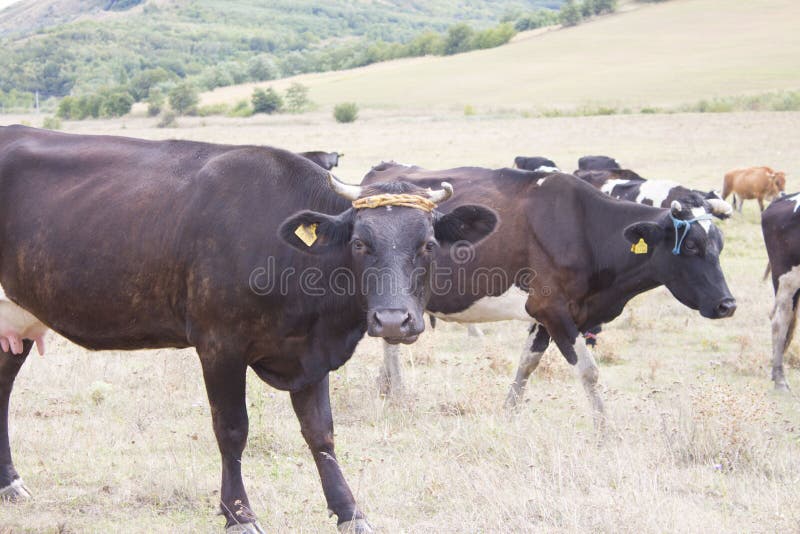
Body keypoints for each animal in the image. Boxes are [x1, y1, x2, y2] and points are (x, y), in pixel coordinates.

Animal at [0, 126, 497, 532]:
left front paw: (350, 511)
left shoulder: (309, 354)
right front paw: (238, 514)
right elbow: (232, 429)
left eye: (428, 244)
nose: (393, 319)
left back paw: (11, 483)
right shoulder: (219, 345)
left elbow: (321, 432)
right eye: (360, 243)